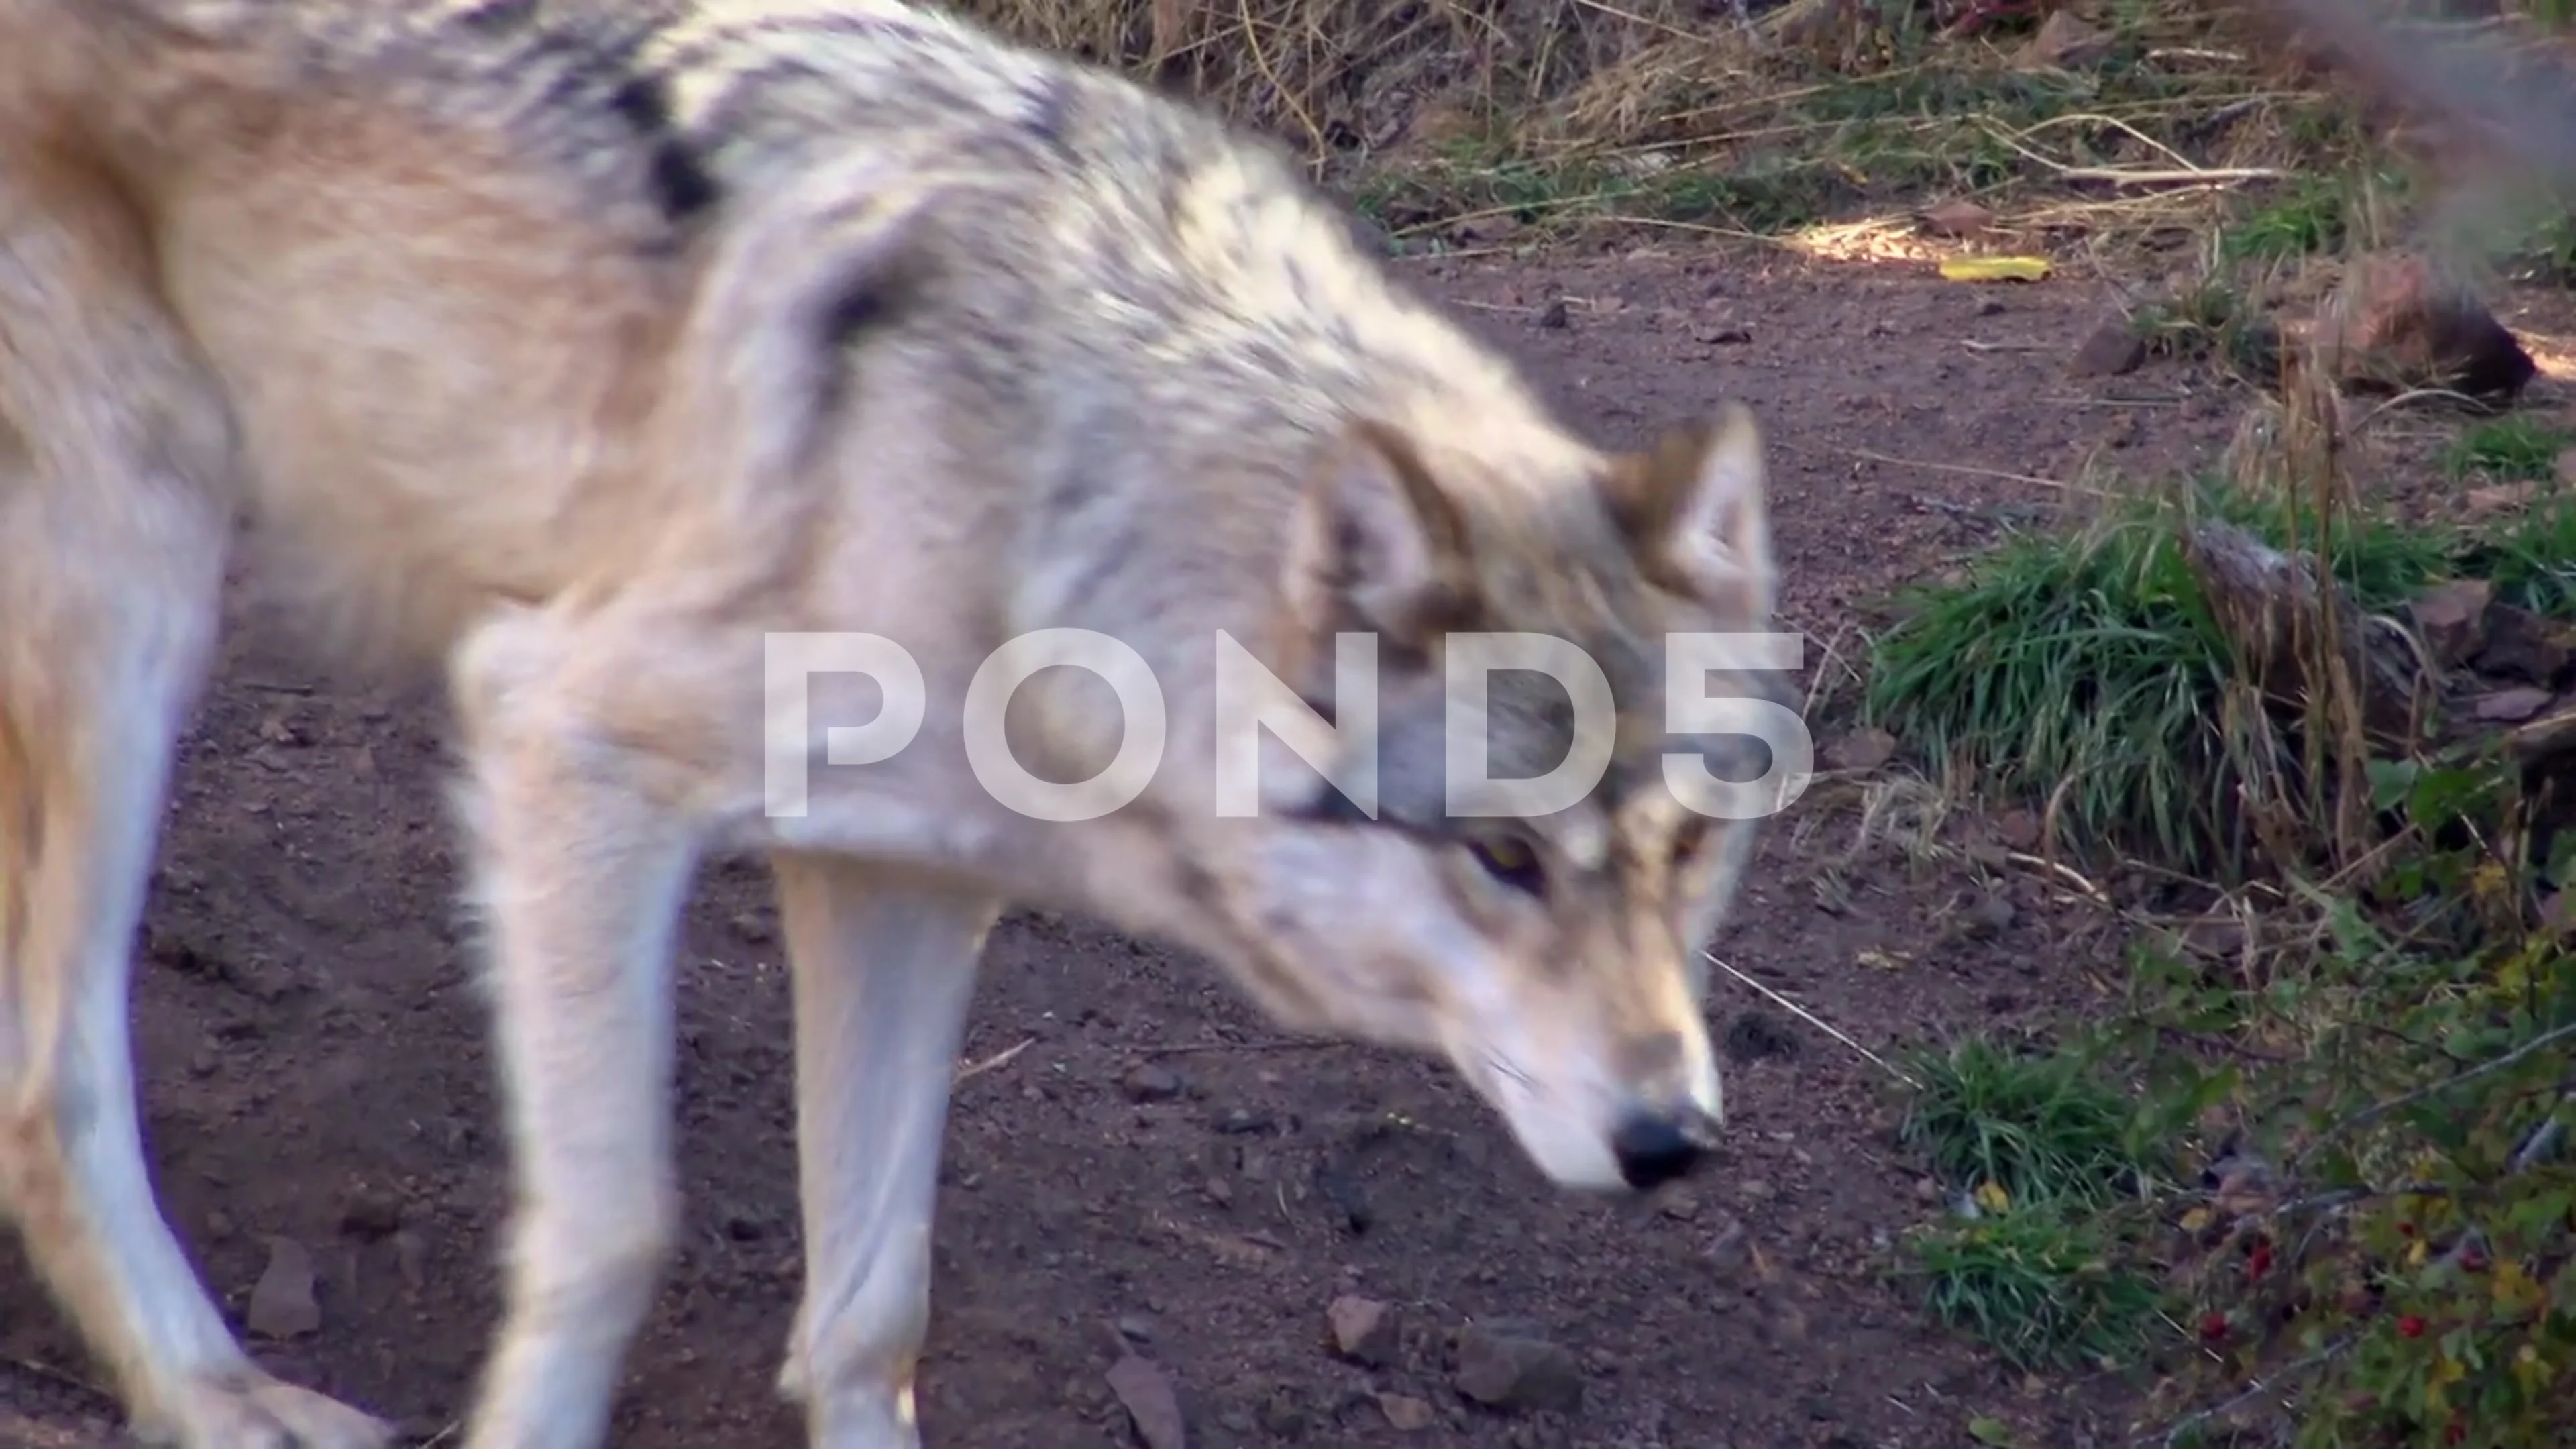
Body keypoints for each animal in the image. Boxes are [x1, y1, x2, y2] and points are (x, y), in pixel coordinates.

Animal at [0, 1, 1805, 1445]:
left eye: (1688, 850)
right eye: (1505, 858)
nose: (1672, 1140)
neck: (1050, 488)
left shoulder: (908, 885)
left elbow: (876, 1306)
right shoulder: (560, 739)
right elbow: (614, 1231)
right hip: (142, 580)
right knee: (51, 1074)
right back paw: (218, 1397)